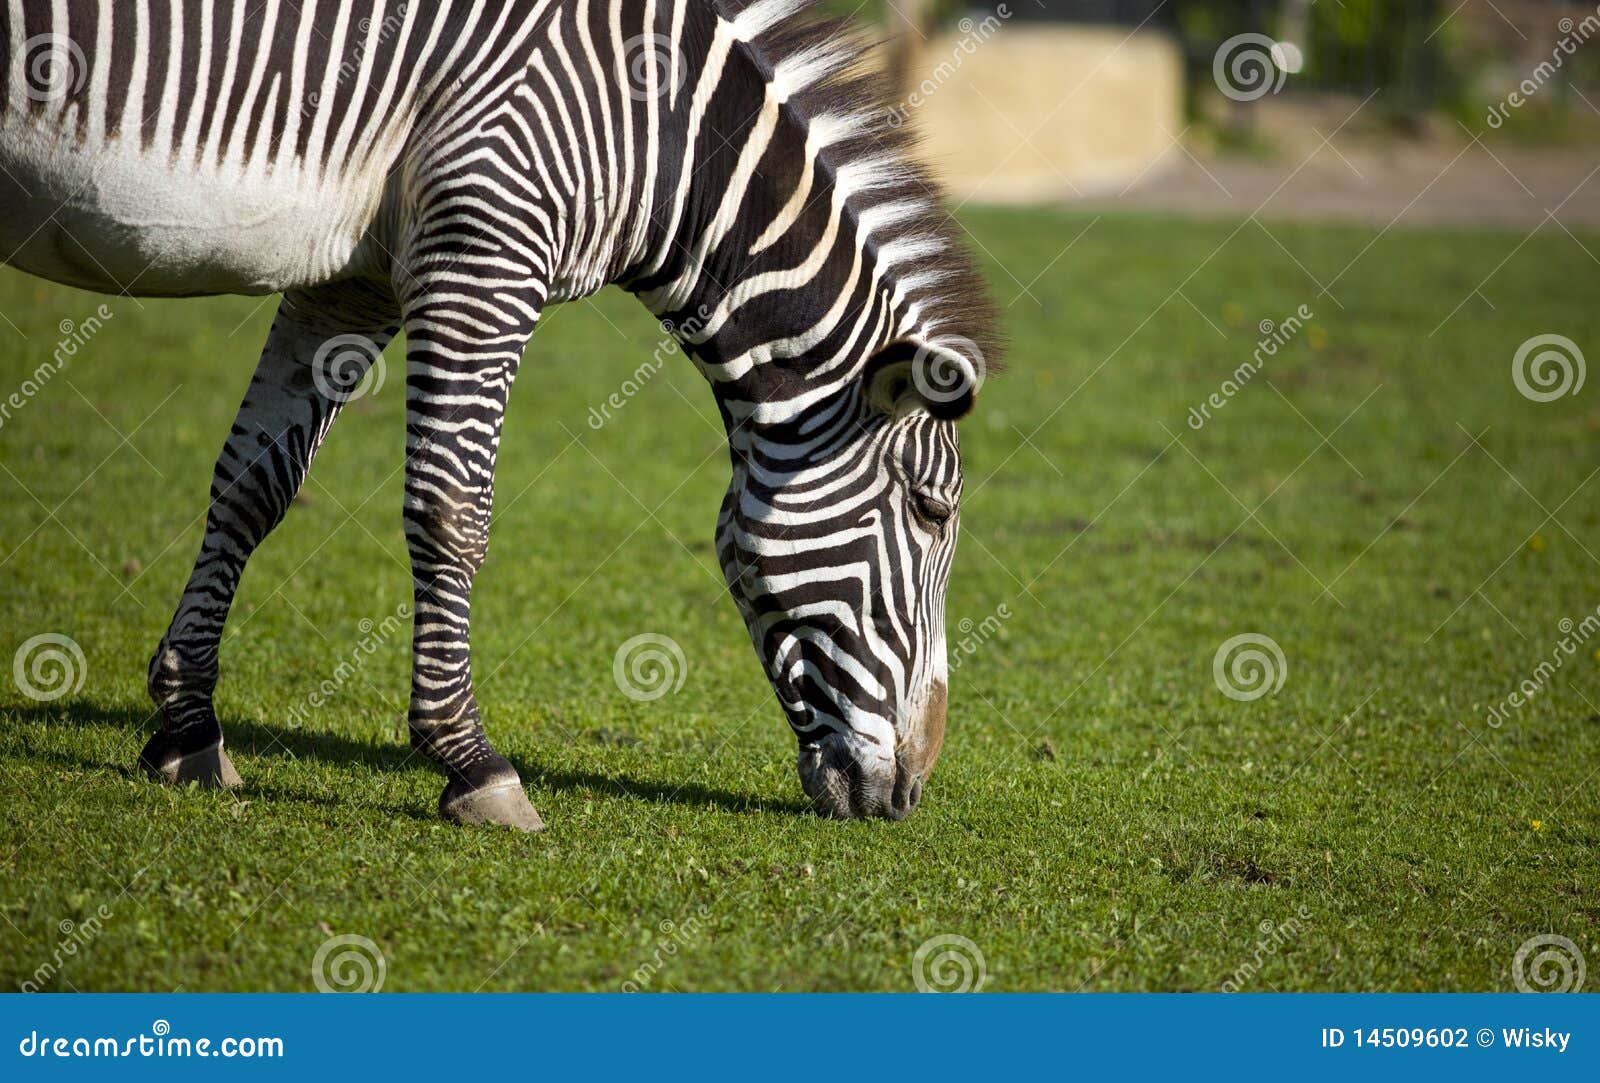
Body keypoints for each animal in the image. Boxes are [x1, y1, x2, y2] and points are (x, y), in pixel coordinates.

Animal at [1, 0, 999, 828]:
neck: (661, 130)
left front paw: (187, 726)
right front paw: (471, 762)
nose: (912, 792)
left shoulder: (351, 279)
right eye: (932, 511)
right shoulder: (482, 250)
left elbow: (256, 485)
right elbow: (452, 510)